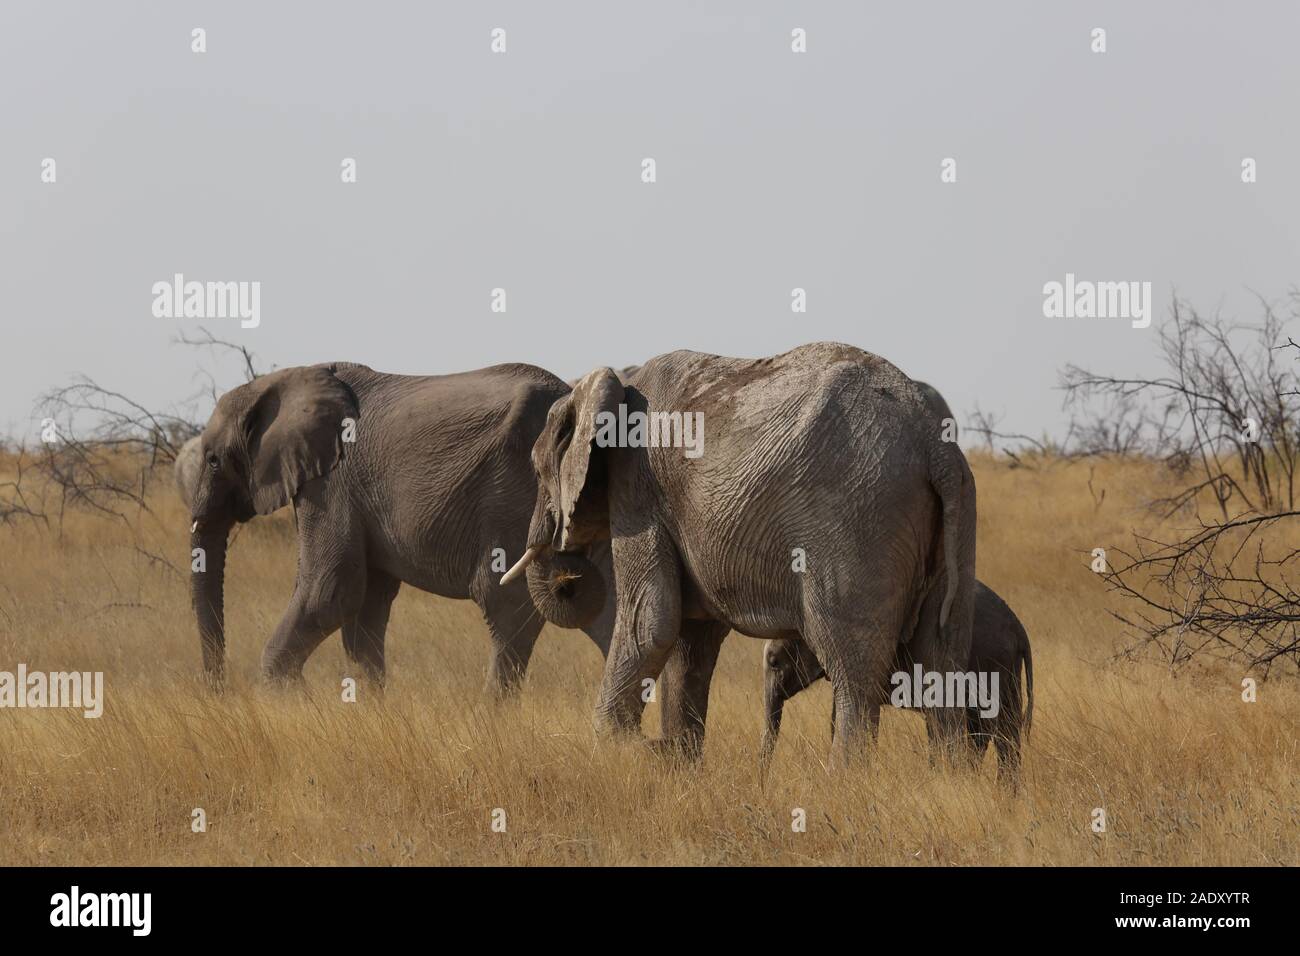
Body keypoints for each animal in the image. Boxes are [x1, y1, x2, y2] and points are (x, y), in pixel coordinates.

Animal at [185, 362, 613, 691]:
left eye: (213, 460)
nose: (218, 688)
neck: (289, 379)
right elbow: (367, 606)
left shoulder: (332, 485)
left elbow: (330, 590)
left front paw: (289, 697)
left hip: (514, 496)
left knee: (509, 606)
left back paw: (491, 718)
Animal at [500, 342, 978, 765]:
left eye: (536, 468)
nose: (566, 574)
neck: (616, 380)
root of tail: (935, 444)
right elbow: (691, 639)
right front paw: (676, 760)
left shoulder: (639, 487)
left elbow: (651, 620)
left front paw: (619, 753)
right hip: (955, 514)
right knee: (943, 657)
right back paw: (949, 780)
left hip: (857, 519)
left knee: (853, 667)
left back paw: (844, 782)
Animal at [761, 580, 1034, 781]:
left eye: (774, 662)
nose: (765, 783)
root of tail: (1019, 628)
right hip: (1004, 667)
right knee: (1005, 731)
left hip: (985, 662)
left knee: (982, 727)